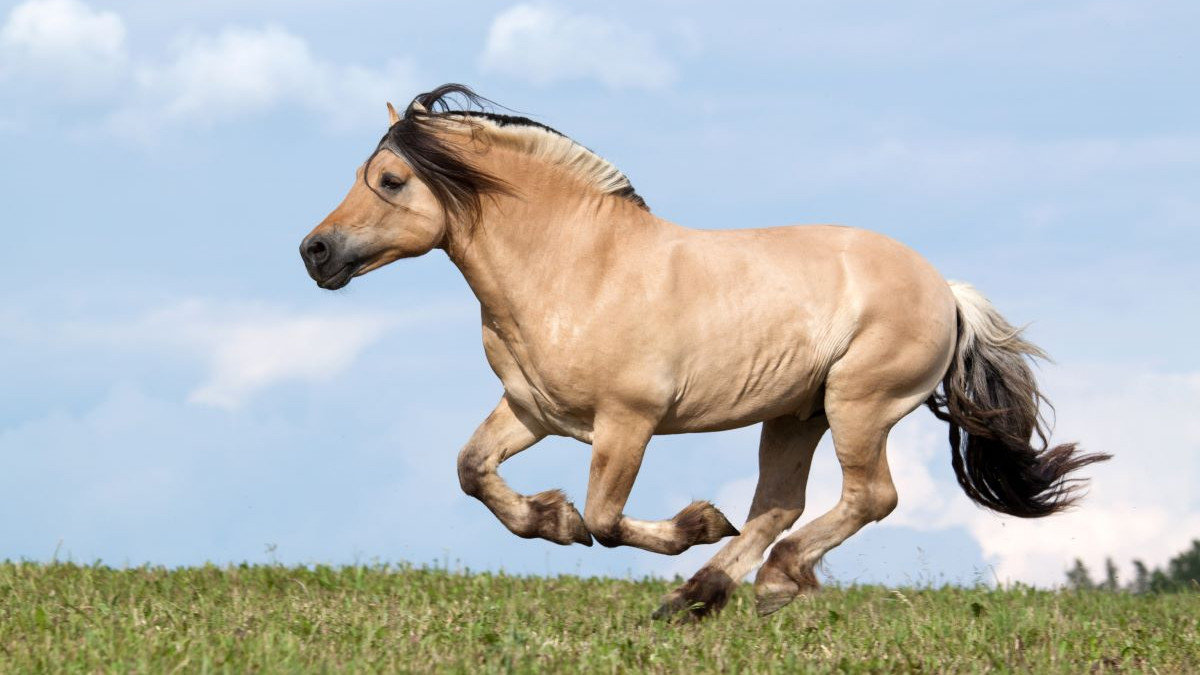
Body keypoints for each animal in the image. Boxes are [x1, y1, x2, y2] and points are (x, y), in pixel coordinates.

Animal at [300, 84, 1109, 620]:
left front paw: (688, 522)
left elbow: (605, 518)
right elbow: (474, 471)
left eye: (391, 180)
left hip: (858, 405)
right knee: (779, 504)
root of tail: (945, 289)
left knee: (867, 497)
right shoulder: (532, 409)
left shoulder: (627, 421)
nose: (315, 252)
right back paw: (698, 595)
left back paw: (767, 581)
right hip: (797, 414)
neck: (577, 265)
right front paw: (550, 518)